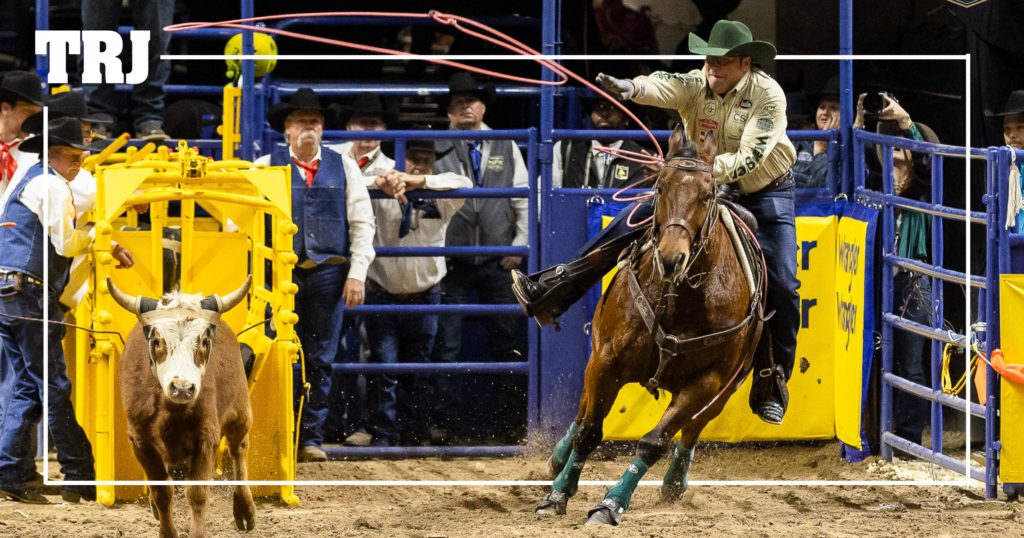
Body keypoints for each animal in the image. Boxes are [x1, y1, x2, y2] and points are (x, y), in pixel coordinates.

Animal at [536, 125, 767, 526]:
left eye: (707, 195)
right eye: (659, 188)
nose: (672, 258)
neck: (678, 300)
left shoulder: (708, 382)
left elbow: (654, 441)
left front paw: (612, 503)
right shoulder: (606, 360)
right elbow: (589, 432)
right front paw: (557, 495)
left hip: (727, 387)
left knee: (692, 429)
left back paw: (675, 481)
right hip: (596, 361)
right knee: (581, 415)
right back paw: (558, 458)